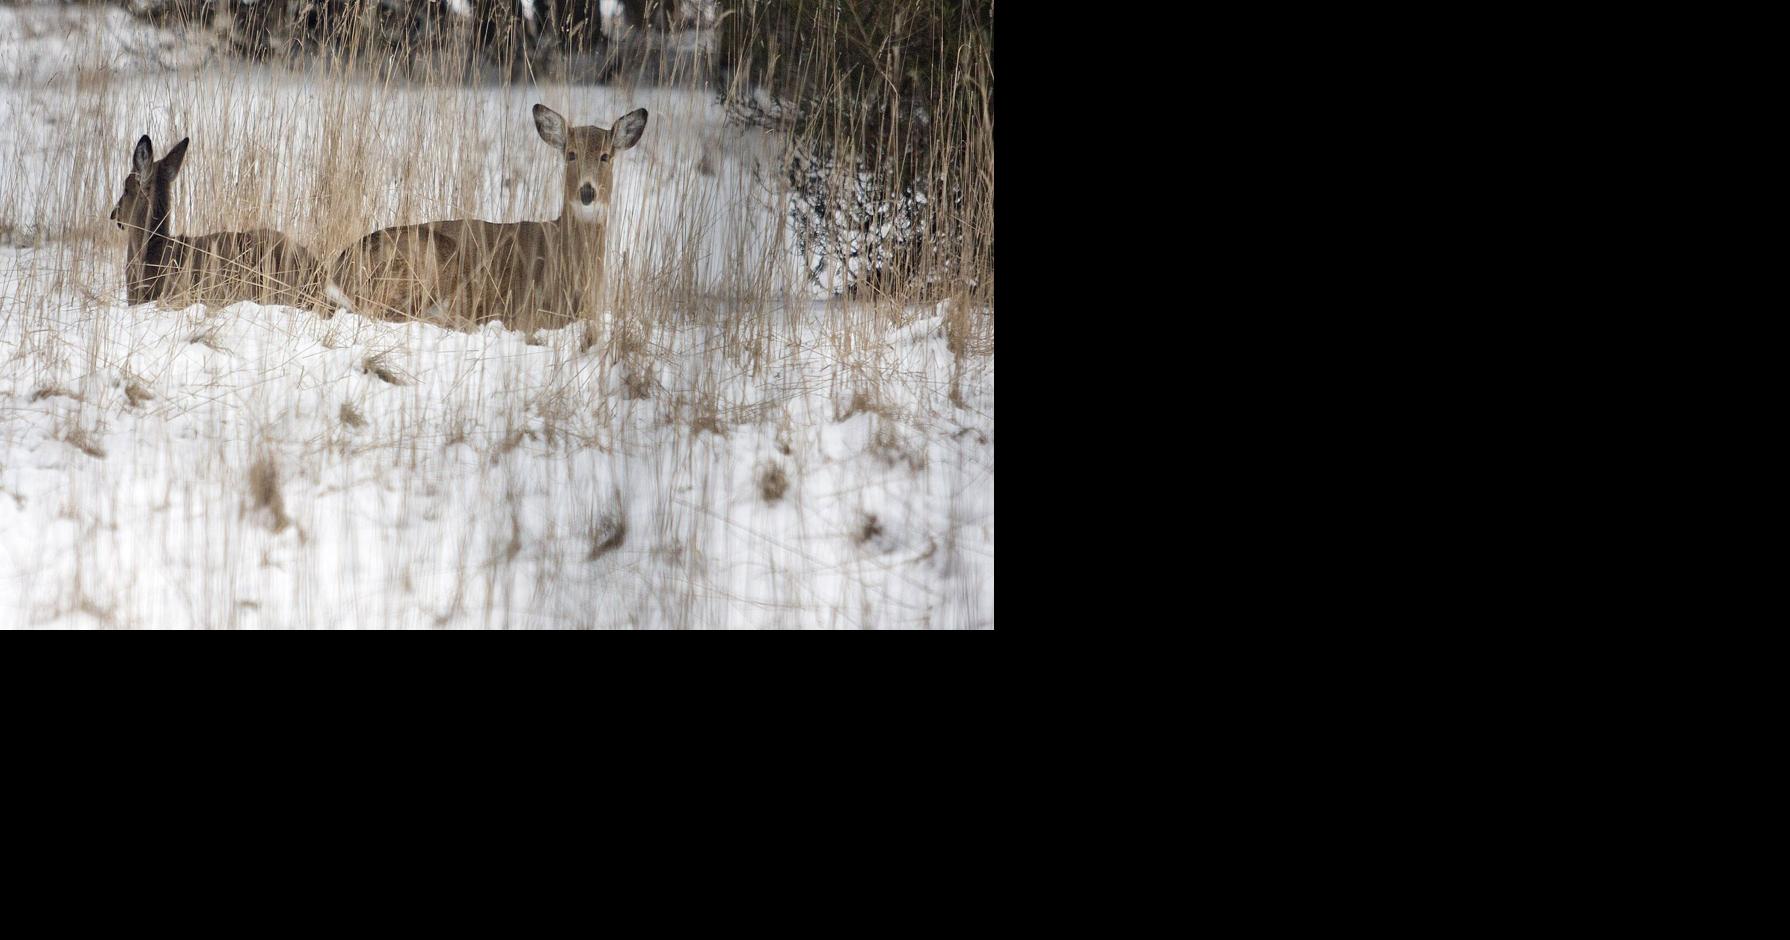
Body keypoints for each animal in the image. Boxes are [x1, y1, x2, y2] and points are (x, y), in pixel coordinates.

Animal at [324, 104, 648, 333]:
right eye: (570, 154)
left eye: (606, 156)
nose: (587, 191)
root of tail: (338, 270)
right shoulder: (528, 311)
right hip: (428, 263)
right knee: (389, 314)